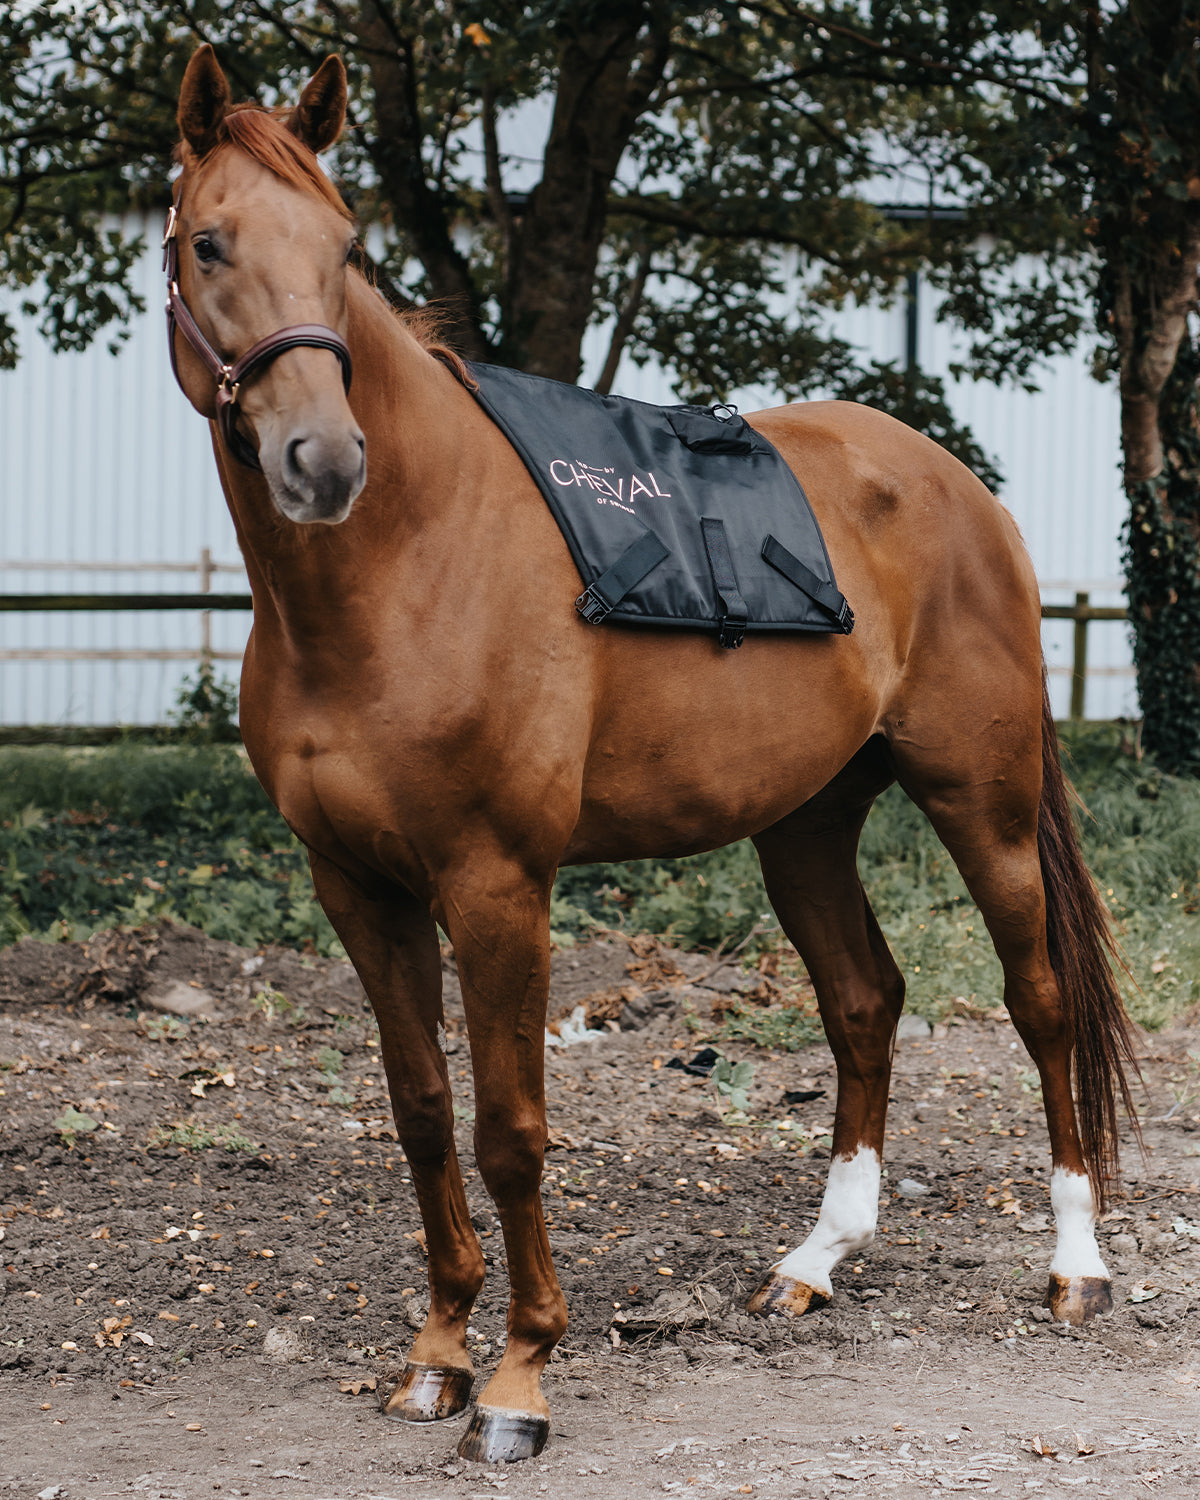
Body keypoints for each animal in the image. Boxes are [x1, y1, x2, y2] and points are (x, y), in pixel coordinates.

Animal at [167, 45, 1138, 1465]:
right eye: (208, 241)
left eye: (347, 247)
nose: (323, 460)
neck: (404, 566)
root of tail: (958, 487)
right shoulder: (356, 886)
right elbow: (420, 1113)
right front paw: (436, 1356)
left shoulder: (498, 884)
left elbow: (510, 1129)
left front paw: (518, 1383)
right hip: (805, 824)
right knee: (865, 1000)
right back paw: (813, 1263)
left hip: (985, 802)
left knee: (1041, 1000)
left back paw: (1075, 1268)